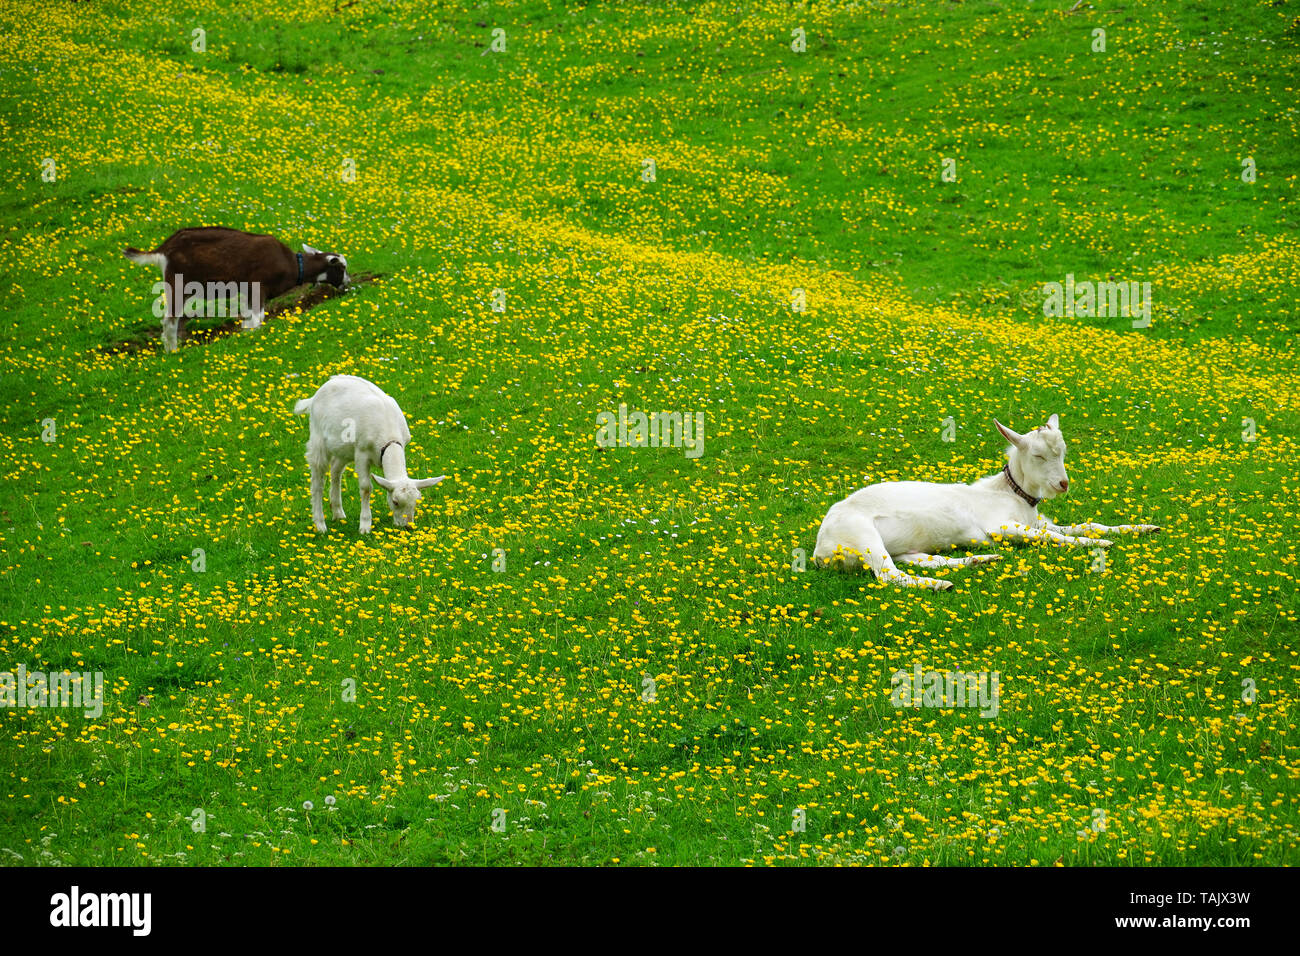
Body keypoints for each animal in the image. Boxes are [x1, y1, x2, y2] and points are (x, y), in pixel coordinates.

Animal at [124, 227, 350, 352]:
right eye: (341, 268)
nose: (347, 284)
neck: (293, 265)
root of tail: (164, 248)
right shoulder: (258, 287)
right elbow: (258, 319)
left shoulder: (249, 293)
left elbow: (248, 320)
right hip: (179, 283)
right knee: (169, 319)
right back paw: (173, 351)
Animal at [293, 375, 446, 534]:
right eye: (395, 502)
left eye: (417, 501)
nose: (408, 526)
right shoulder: (362, 452)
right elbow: (366, 488)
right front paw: (365, 525)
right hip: (318, 437)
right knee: (317, 481)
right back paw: (320, 524)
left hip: (344, 448)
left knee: (335, 470)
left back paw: (338, 513)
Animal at [813, 414, 1160, 590]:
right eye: (1038, 455)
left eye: (1062, 451)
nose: (1063, 484)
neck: (1012, 495)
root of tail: (820, 551)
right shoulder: (1003, 526)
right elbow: (1052, 537)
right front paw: (1097, 544)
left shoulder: (1038, 520)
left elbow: (1085, 524)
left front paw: (1142, 527)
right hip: (861, 535)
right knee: (888, 574)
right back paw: (940, 585)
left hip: (900, 548)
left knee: (919, 560)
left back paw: (980, 561)